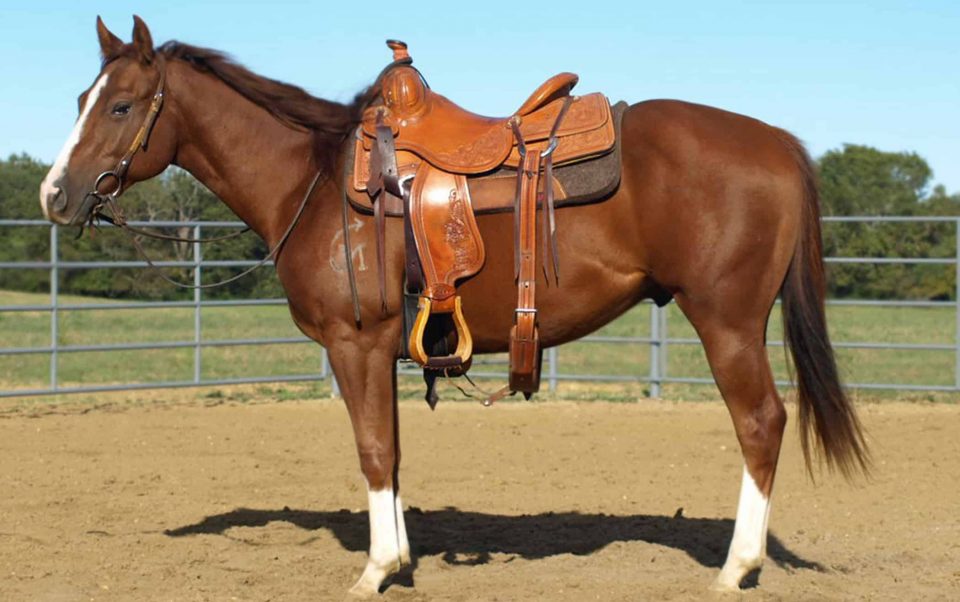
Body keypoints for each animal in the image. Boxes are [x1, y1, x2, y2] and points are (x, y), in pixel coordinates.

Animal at [39, 16, 869, 597]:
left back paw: (736, 568)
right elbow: (394, 451)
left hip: (726, 323)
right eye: (80, 100)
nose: (54, 195)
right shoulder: (386, 350)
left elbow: (373, 451)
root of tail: (777, 142)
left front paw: (374, 571)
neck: (312, 181)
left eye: (119, 106)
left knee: (760, 425)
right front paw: (400, 557)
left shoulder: (355, 344)